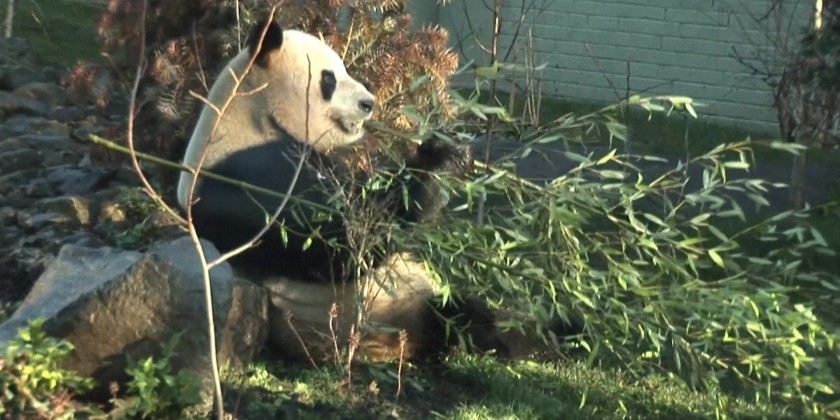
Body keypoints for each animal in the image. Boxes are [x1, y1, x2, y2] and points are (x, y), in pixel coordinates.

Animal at [176, 18, 548, 362]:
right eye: (329, 79)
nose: (369, 104)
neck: (249, 115)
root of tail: (402, 344)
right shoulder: (254, 175)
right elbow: (349, 241)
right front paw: (444, 156)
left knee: (469, 311)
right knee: (460, 318)